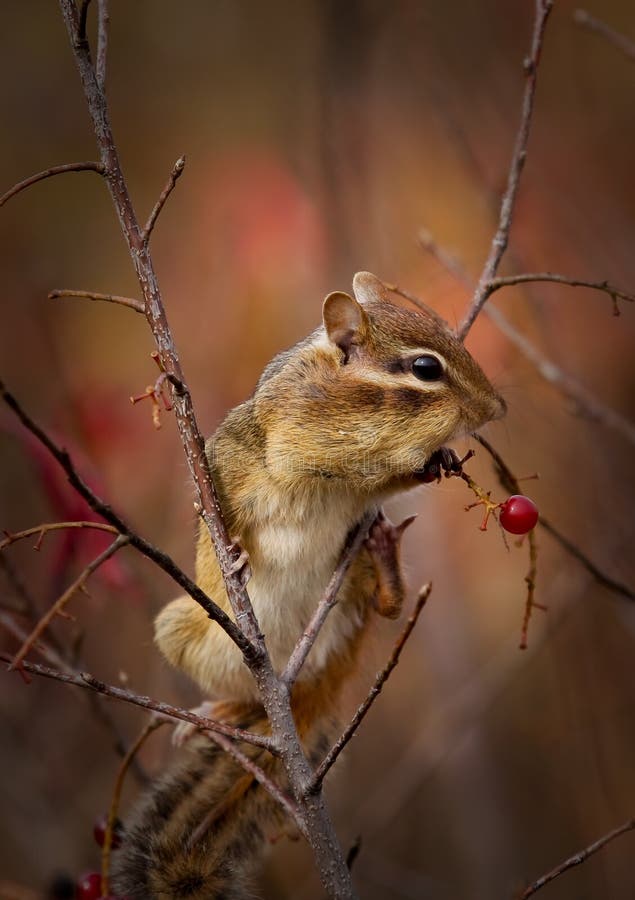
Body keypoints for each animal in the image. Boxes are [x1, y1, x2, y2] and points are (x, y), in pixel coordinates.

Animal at [112, 271, 505, 899]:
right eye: (425, 368)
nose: (497, 407)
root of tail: (314, 677)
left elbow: (374, 481)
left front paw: (434, 458)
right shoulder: (299, 436)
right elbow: (330, 464)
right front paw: (235, 551)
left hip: (352, 593)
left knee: (384, 606)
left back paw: (386, 565)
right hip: (182, 630)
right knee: (248, 694)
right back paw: (227, 711)